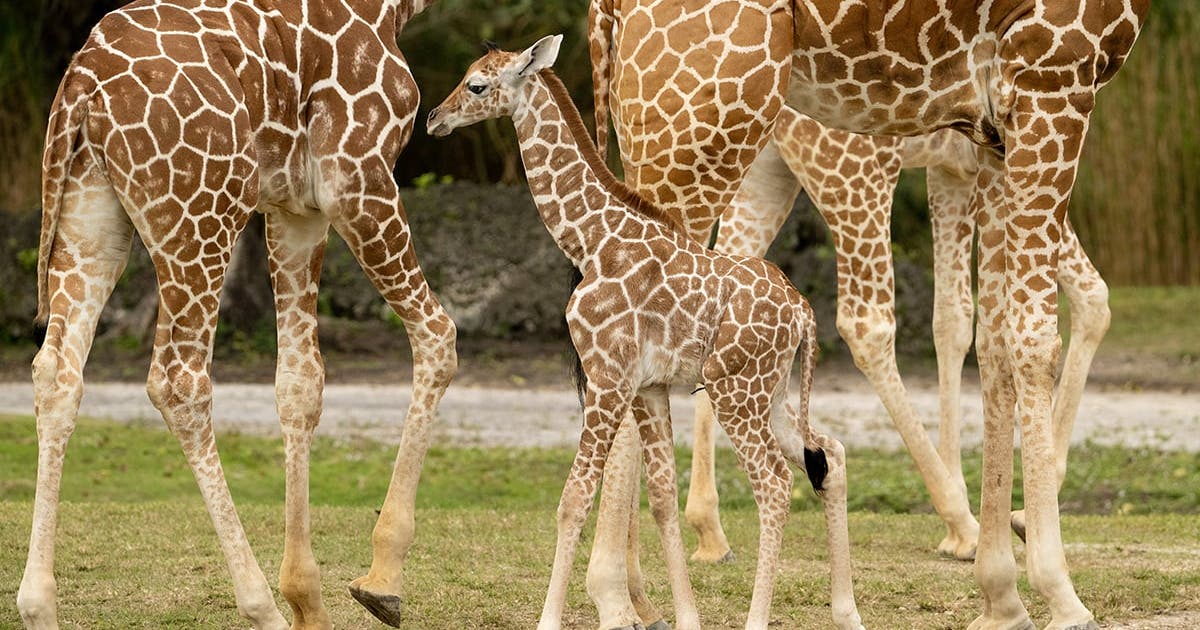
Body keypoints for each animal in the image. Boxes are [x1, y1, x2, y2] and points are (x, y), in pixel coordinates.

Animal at [18, 1, 457, 628]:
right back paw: (260, 606)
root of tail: (82, 83)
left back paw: (38, 606)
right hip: (203, 217)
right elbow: (437, 334)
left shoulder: (298, 210)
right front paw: (381, 580)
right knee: (178, 382)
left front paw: (307, 598)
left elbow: (300, 383)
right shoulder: (358, 177)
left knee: (57, 371)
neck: (396, 10)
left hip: (91, 216)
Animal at [426, 35, 863, 630]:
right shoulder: (648, 386)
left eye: (476, 85)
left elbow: (574, 498)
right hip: (768, 391)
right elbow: (659, 497)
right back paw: (848, 613)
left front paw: (549, 619)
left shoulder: (607, 375)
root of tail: (803, 313)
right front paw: (685, 618)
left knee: (775, 482)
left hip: (735, 392)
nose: (434, 118)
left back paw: (760, 617)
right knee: (829, 455)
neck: (592, 241)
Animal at [586, 1, 1150, 628]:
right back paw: (615, 594)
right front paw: (1054, 585)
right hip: (783, 143)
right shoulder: (1051, 76)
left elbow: (978, 332)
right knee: (855, 319)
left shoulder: (983, 142)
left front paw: (1001, 592)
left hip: (718, 144)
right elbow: (1043, 326)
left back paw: (655, 575)